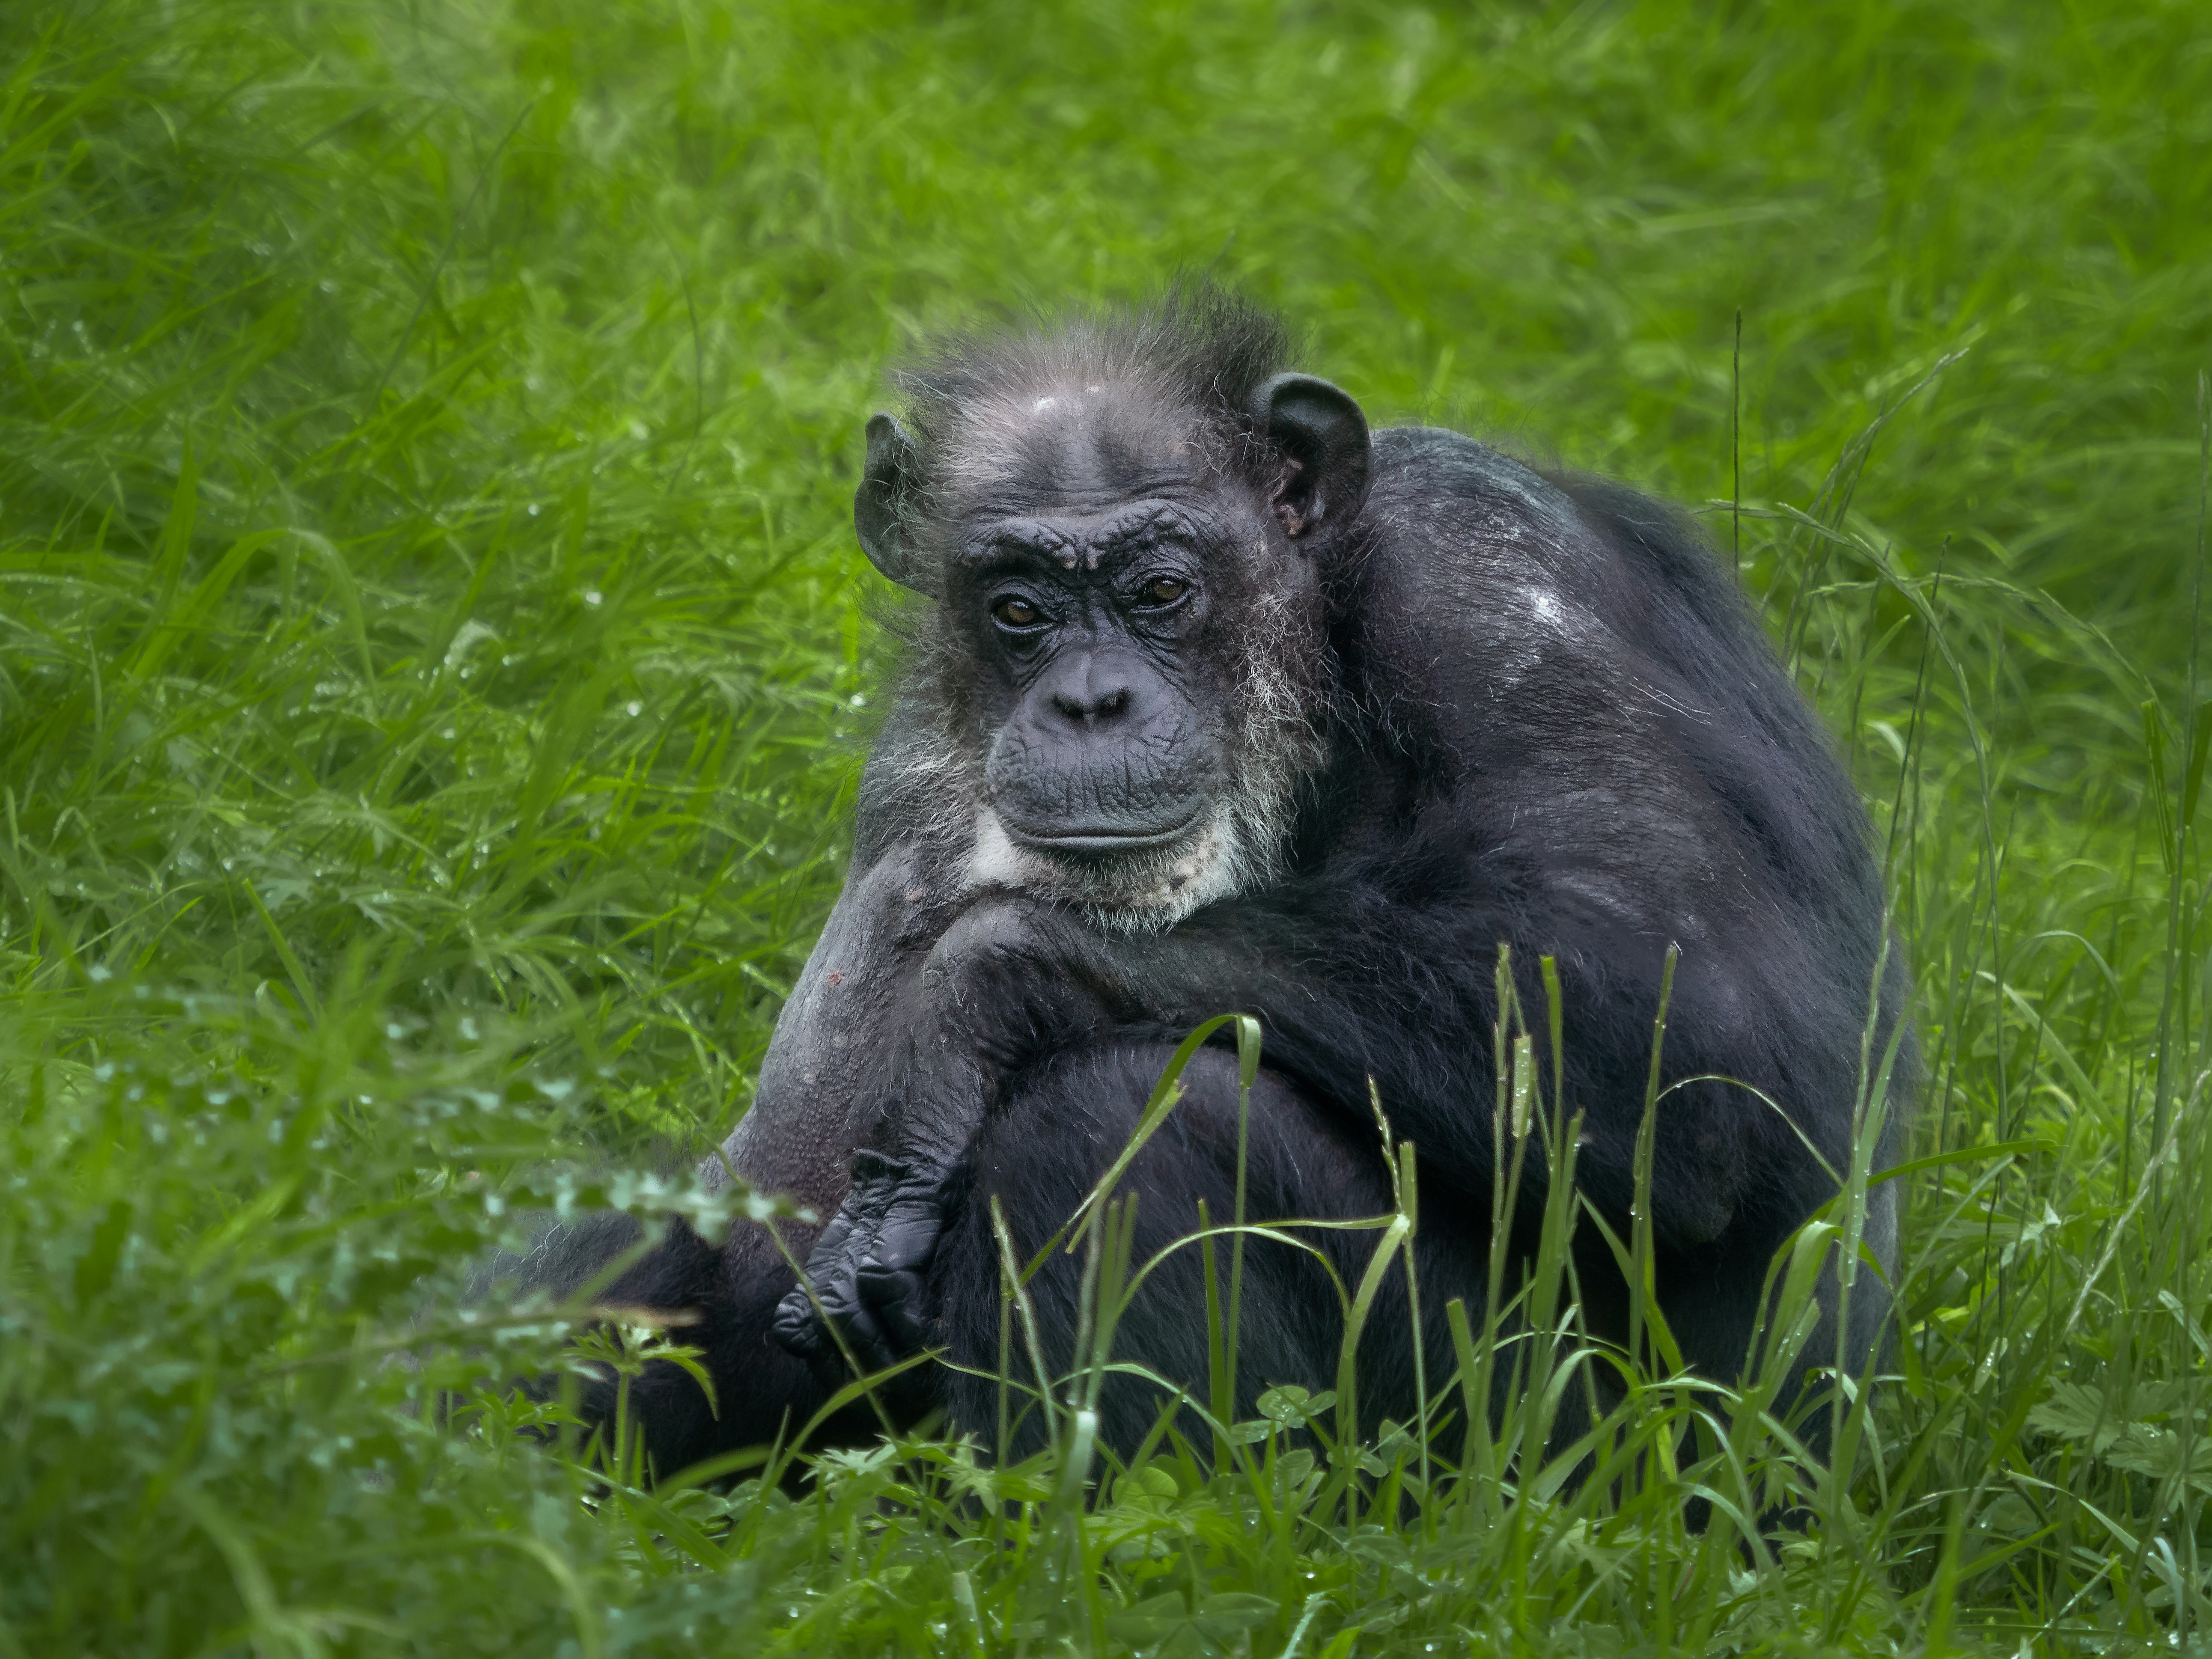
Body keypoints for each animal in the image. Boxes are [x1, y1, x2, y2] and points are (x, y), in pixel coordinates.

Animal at [561, 285, 1911, 1480]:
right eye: (1017, 608)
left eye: (1159, 589)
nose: (1089, 700)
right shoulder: (908, 800)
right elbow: (763, 1213)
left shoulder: (1495, 585)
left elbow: (1690, 1026)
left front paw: (968, 1006)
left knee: (1127, 1112)